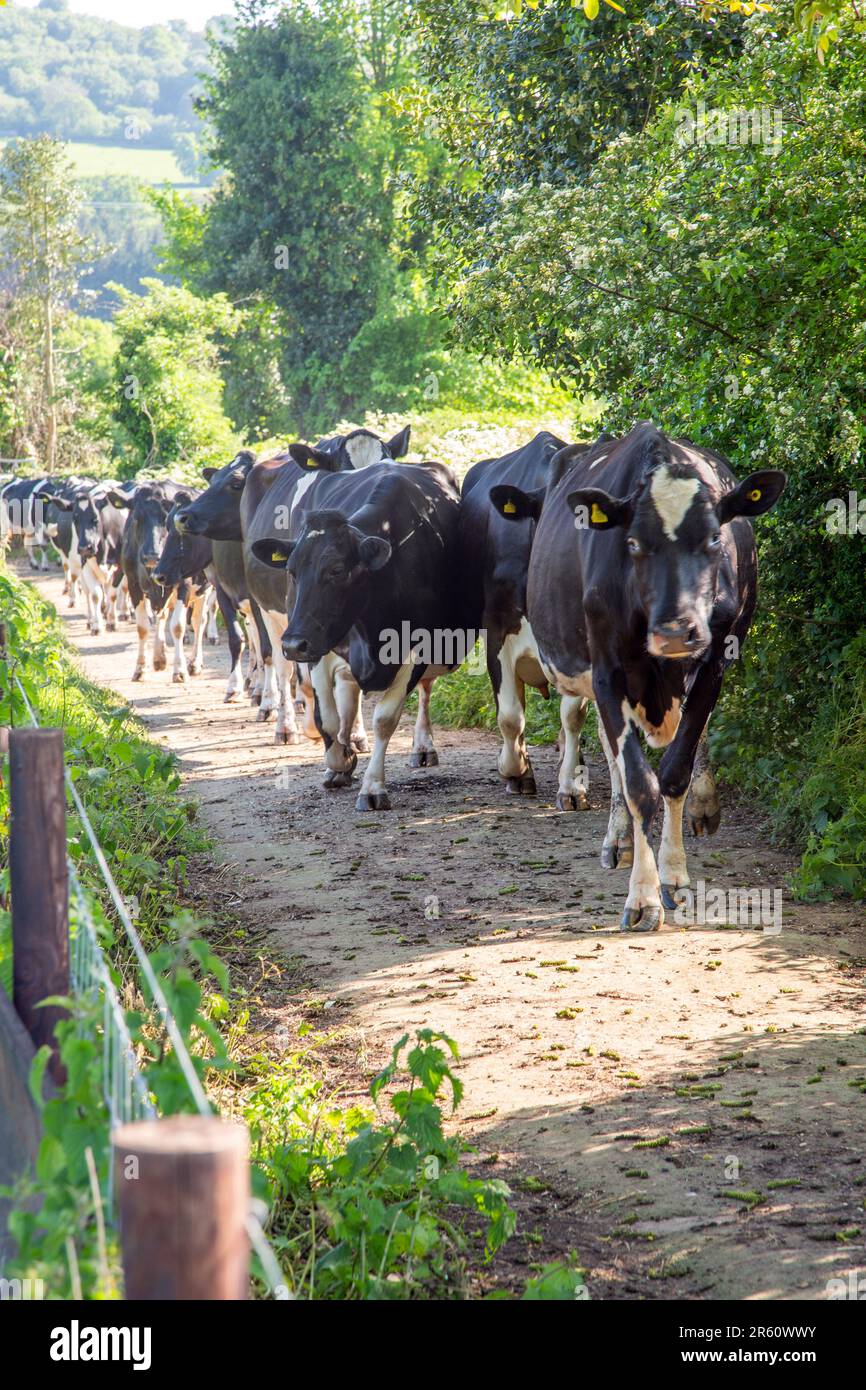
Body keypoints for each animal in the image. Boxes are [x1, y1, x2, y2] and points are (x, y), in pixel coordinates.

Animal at [251, 458, 465, 810]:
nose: (292, 644)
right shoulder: (321, 644)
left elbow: (385, 719)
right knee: (347, 695)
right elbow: (327, 717)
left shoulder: (416, 646)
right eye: (292, 571)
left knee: (424, 689)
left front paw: (373, 787)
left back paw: (422, 746)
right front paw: (341, 760)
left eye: (336, 570)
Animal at [490, 422, 786, 931]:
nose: (675, 631)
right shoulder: (607, 673)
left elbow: (674, 772)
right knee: (613, 759)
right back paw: (620, 840)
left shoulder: (714, 666)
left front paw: (674, 876)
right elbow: (636, 782)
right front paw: (643, 897)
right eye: (632, 544)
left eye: (713, 538)